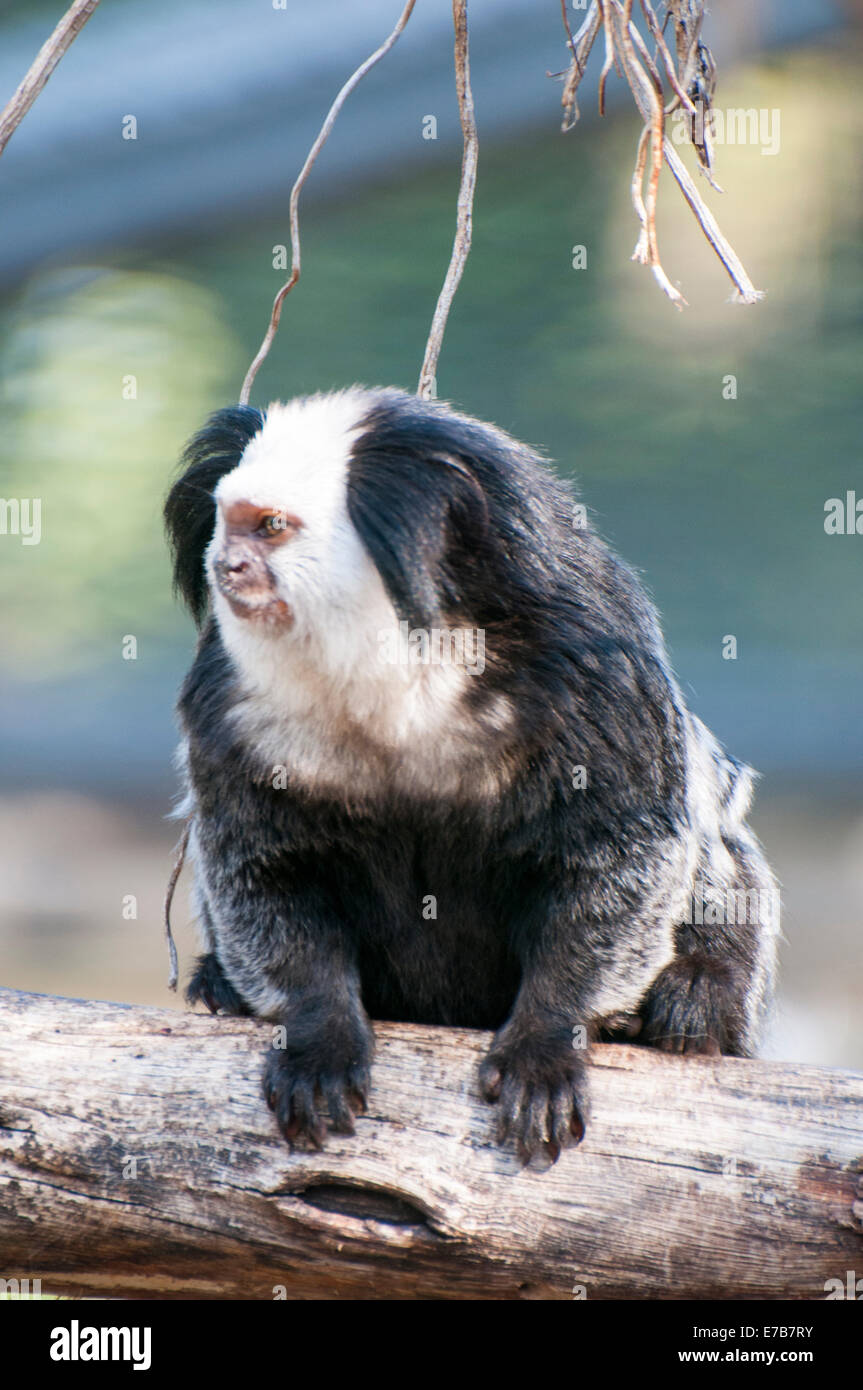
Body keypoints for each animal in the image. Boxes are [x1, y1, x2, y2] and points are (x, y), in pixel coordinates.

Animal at [164, 386, 778, 1163]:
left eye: (270, 527)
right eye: (225, 521)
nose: (227, 564)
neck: (405, 666)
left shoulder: (595, 669)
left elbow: (622, 857)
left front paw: (546, 1042)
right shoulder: (226, 702)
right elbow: (260, 871)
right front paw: (316, 1037)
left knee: (715, 824)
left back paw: (699, 992)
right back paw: (220, 983)